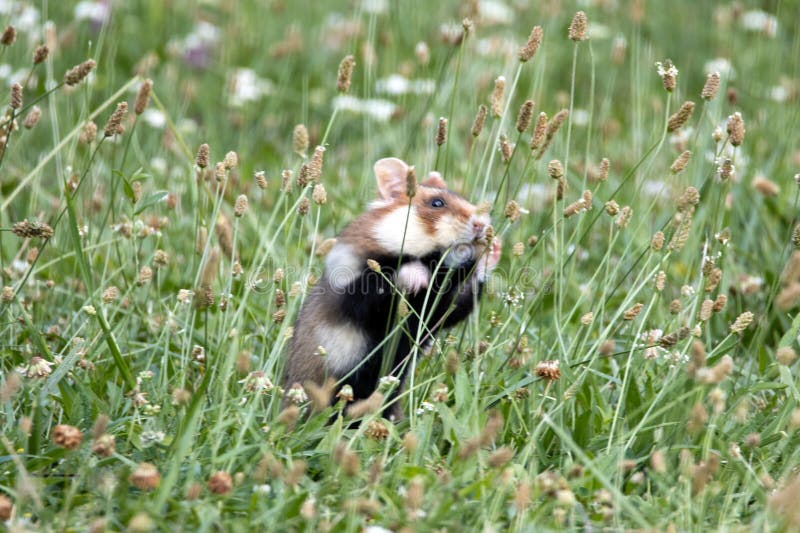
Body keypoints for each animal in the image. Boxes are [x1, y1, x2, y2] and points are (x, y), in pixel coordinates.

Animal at [283, 157, 501, 417]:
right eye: (437, 203)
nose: (481, 224)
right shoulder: (352, 291)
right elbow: (381, 284)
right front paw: (416, 274)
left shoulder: (435, 312)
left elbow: (458, 302)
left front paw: (492, 250)